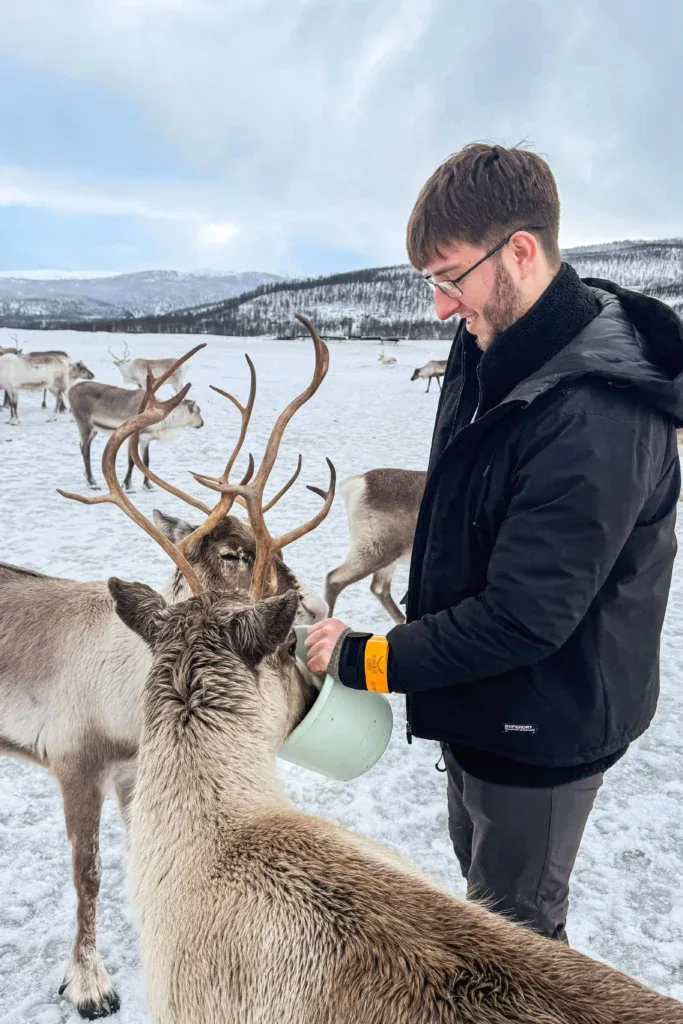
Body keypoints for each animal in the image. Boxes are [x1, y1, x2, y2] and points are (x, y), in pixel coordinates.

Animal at [68, 379, 204, 491]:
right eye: (198, 411)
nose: (202, 423)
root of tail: (71, 390)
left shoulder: (145, 439)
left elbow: (146, 461)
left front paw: (148, 485)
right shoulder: (132, 437)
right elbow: (131, 461)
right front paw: (127, 485)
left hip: (94, 429)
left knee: (81, 446)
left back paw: (88, 479)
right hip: (84, 424)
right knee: (85, 449)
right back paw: (92, 483)